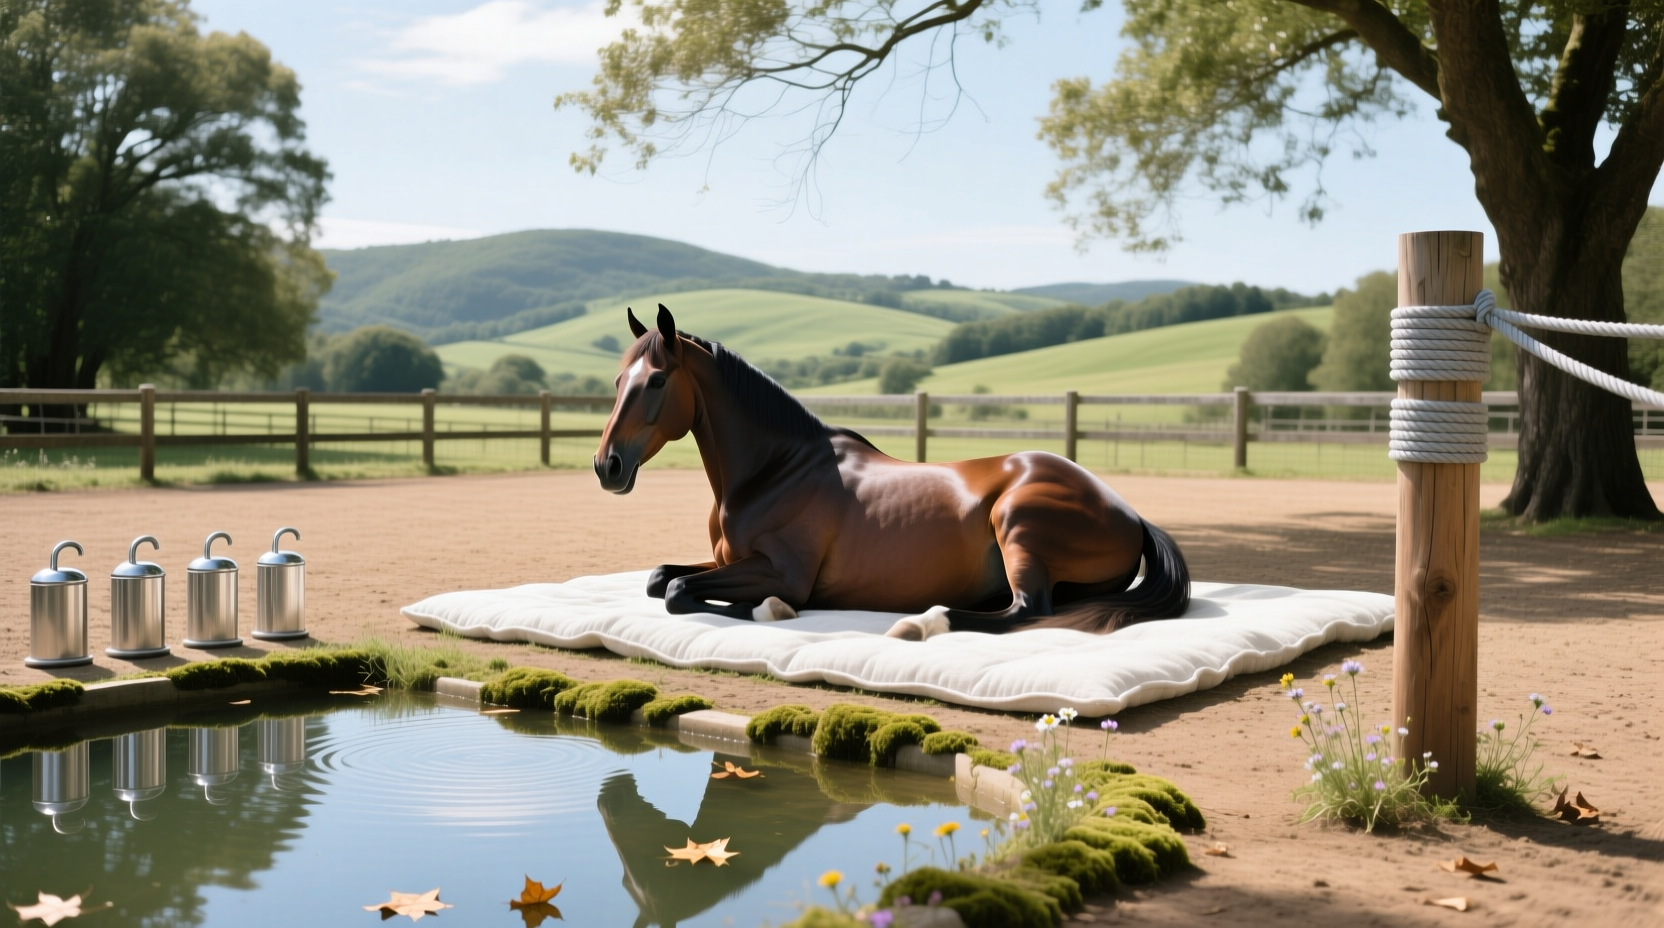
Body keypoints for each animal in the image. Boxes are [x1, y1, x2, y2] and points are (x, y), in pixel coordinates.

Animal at [592, 304, 1191, 640]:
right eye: (619, 380)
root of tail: (1130, 514)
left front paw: (776, 611)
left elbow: (678, 593)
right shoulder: (726, 561)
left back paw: (922, 622)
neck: (775, 473)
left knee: (1026, 611)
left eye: (658, 380)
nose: (607, 466)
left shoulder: (781, 570)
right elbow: (660, 578)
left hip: (1018, 525)